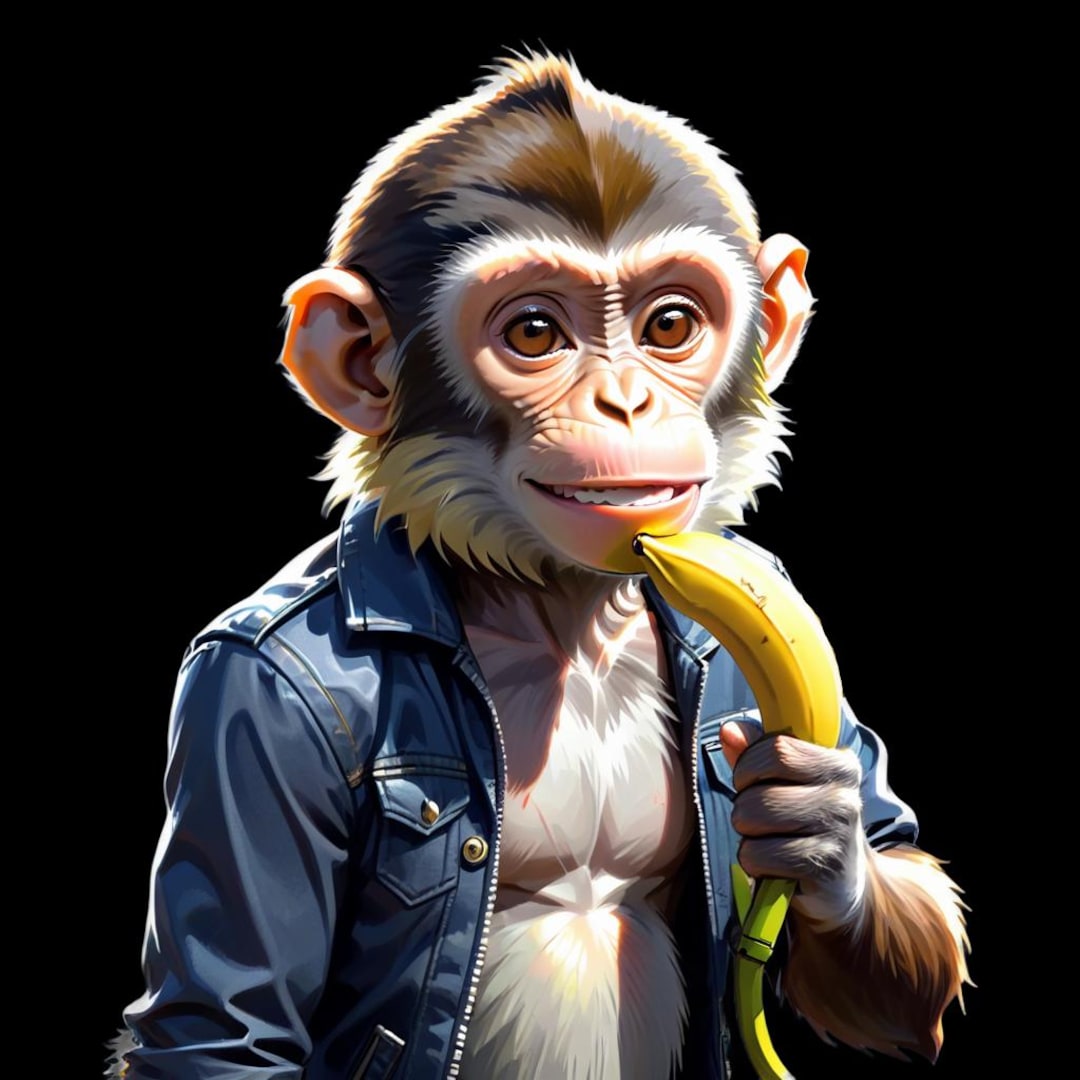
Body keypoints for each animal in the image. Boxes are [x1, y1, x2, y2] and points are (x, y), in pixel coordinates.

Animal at [110, 51, 970, 1079]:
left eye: (670, 324)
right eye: (533, 334)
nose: (627, 402)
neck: (559, 606)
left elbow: (897, 862)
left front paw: (823, 831)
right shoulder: (249, 694)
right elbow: (222, 1027)